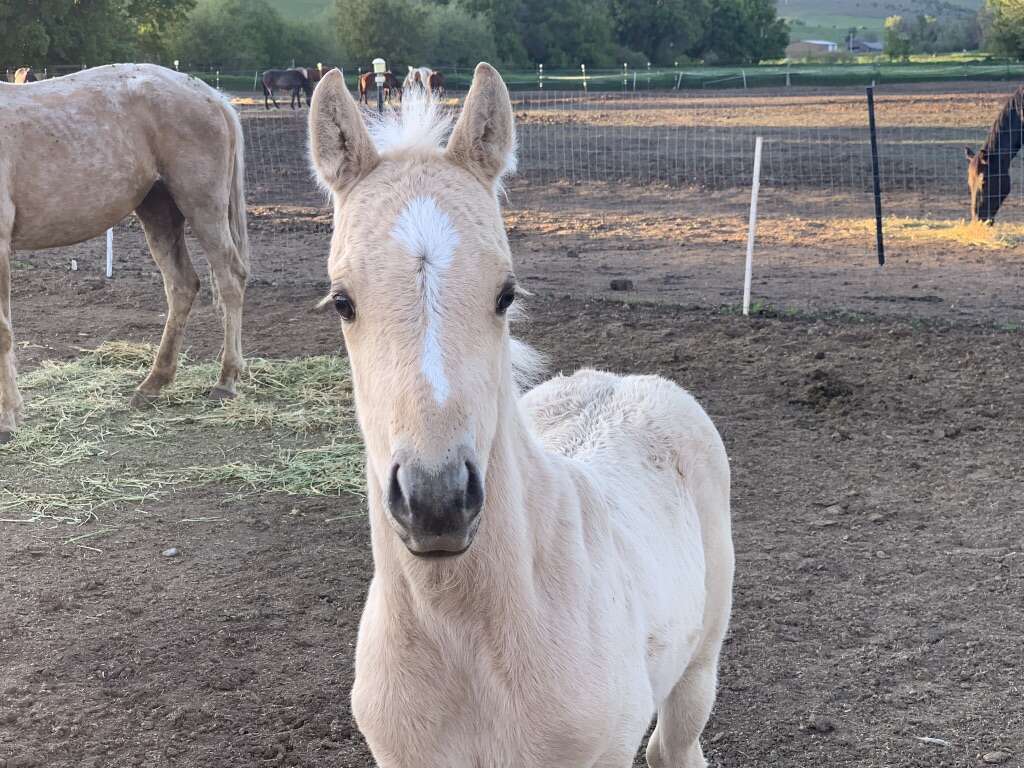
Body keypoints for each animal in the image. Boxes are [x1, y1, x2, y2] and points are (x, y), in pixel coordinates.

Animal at [0, 64, 249, 443]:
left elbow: (3, 334)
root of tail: (212, 96)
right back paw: (153, 384)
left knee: (230, 281)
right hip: (158, 210)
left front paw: (8, 419)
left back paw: (225, 381)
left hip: (203, 206)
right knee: (182, 286)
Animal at [308, 63, 734, 768]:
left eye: (505, 294)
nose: (436, 503)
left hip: (696, 674)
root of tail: (622, 381)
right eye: (342, 301)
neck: (469, 641)